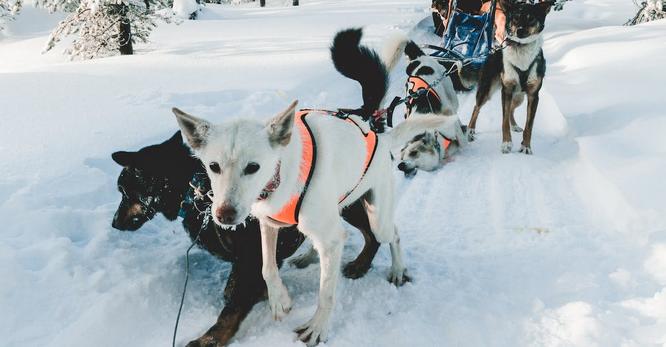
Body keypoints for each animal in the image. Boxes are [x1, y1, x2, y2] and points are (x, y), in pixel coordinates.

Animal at [111, 132, 376, 346]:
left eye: (124, 191)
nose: (113, 222)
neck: (197, 191)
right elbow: (238, 289)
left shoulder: (251, 260)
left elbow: (231, 308)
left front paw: (209, 339)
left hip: (351, 203)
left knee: (373, 235)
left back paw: (361, 264)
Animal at [171, 27, 446, 347]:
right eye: (213, 166)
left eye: (253, 167)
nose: (224, 215)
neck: (279, 180)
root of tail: (379, 135)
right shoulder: (268, 224)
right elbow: (266, 266)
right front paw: (279, 299)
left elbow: (325, 293)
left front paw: (318, 327)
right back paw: (309, 257)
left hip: (377, 218)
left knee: (392, 234)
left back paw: (398, 270)